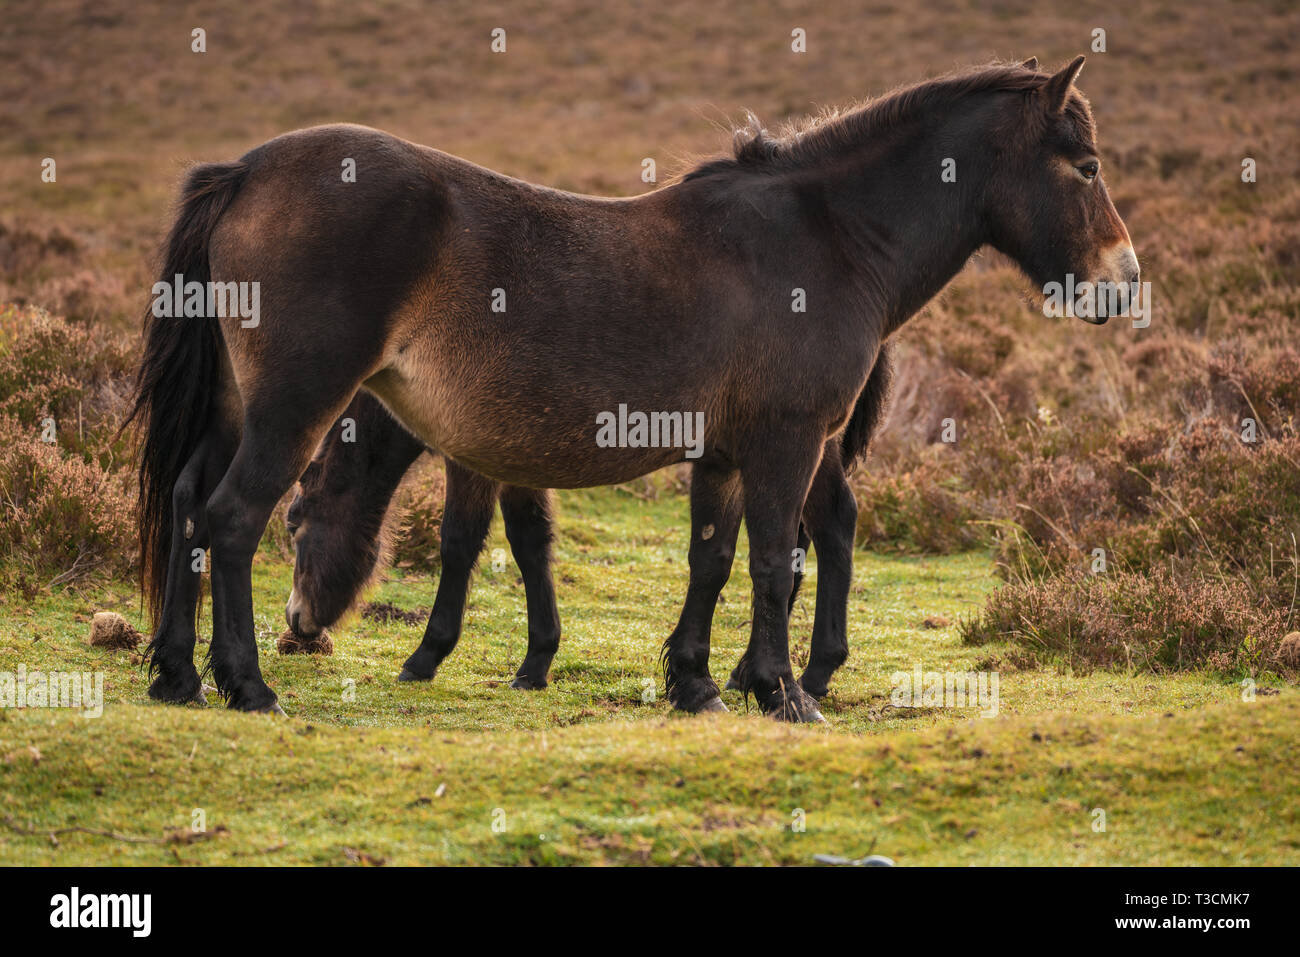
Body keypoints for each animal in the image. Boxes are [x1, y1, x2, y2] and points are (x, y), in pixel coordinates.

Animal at [282, 347, 893, 695]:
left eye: (292, 527)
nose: (297, 626)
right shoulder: (516, 459)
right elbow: (530, 541)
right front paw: (537, 662)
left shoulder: (472, 459)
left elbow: (459, 542)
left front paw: (428, 654)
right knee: (806, 539)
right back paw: (756, 673)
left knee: (833, 526)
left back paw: (814, 673)